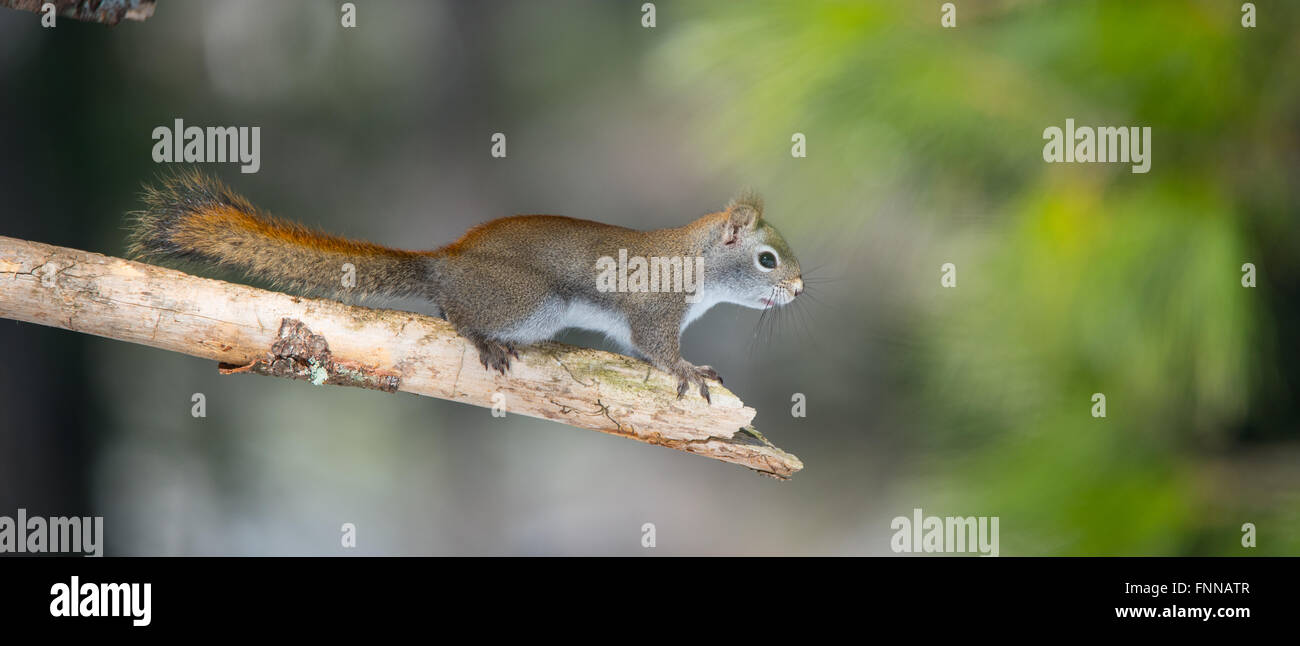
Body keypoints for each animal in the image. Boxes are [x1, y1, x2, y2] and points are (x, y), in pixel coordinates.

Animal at [127, 171, 804, 403]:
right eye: (767, 259)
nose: (799, 289)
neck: (695, 262)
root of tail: (445, 262)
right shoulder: (655, 310)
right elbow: (656, 349)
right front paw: (690, 370)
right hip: (531, 303)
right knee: (454, 311)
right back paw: (481, 336)